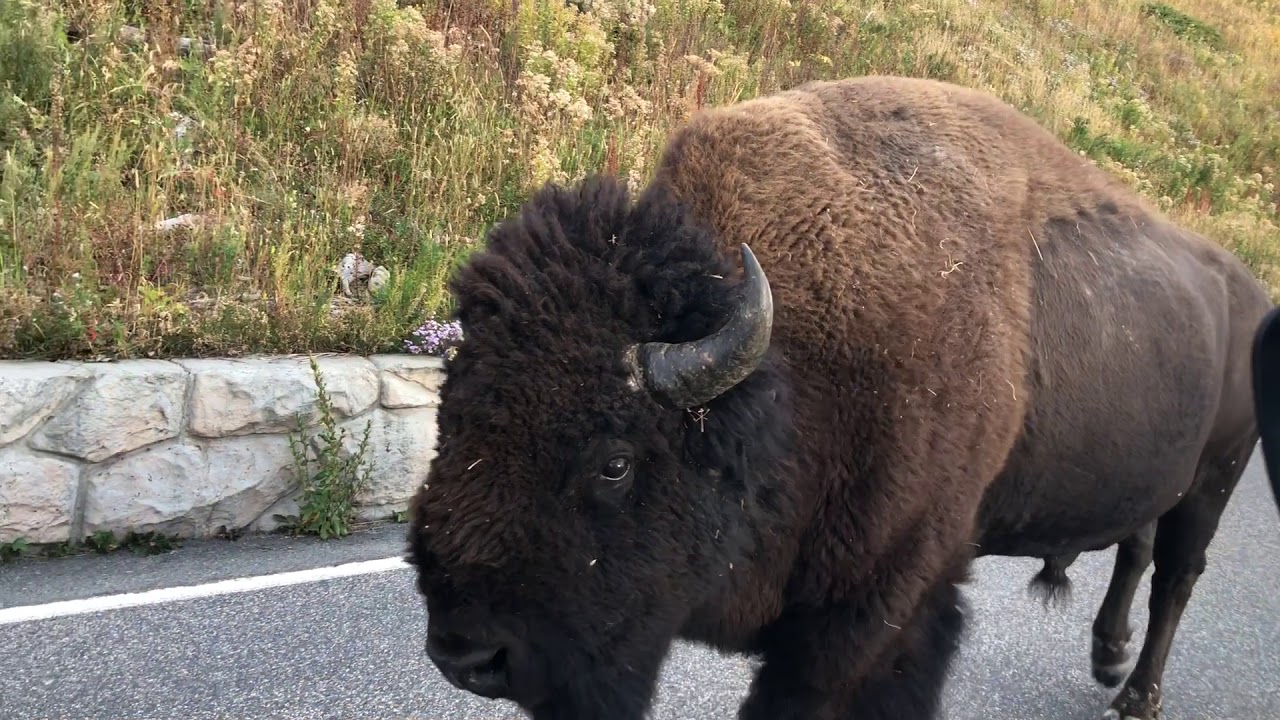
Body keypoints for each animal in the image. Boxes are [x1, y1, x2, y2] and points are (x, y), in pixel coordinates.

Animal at [407, 75, 1274, 720]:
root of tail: (1249, 292)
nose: (465, 655)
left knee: (1177, 575)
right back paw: (1107, 657)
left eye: (614, 462)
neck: (785, 380)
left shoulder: (876, 607)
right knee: (1137, 546)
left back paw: (1136, 694)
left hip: (1218, 477)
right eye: (448, 417)